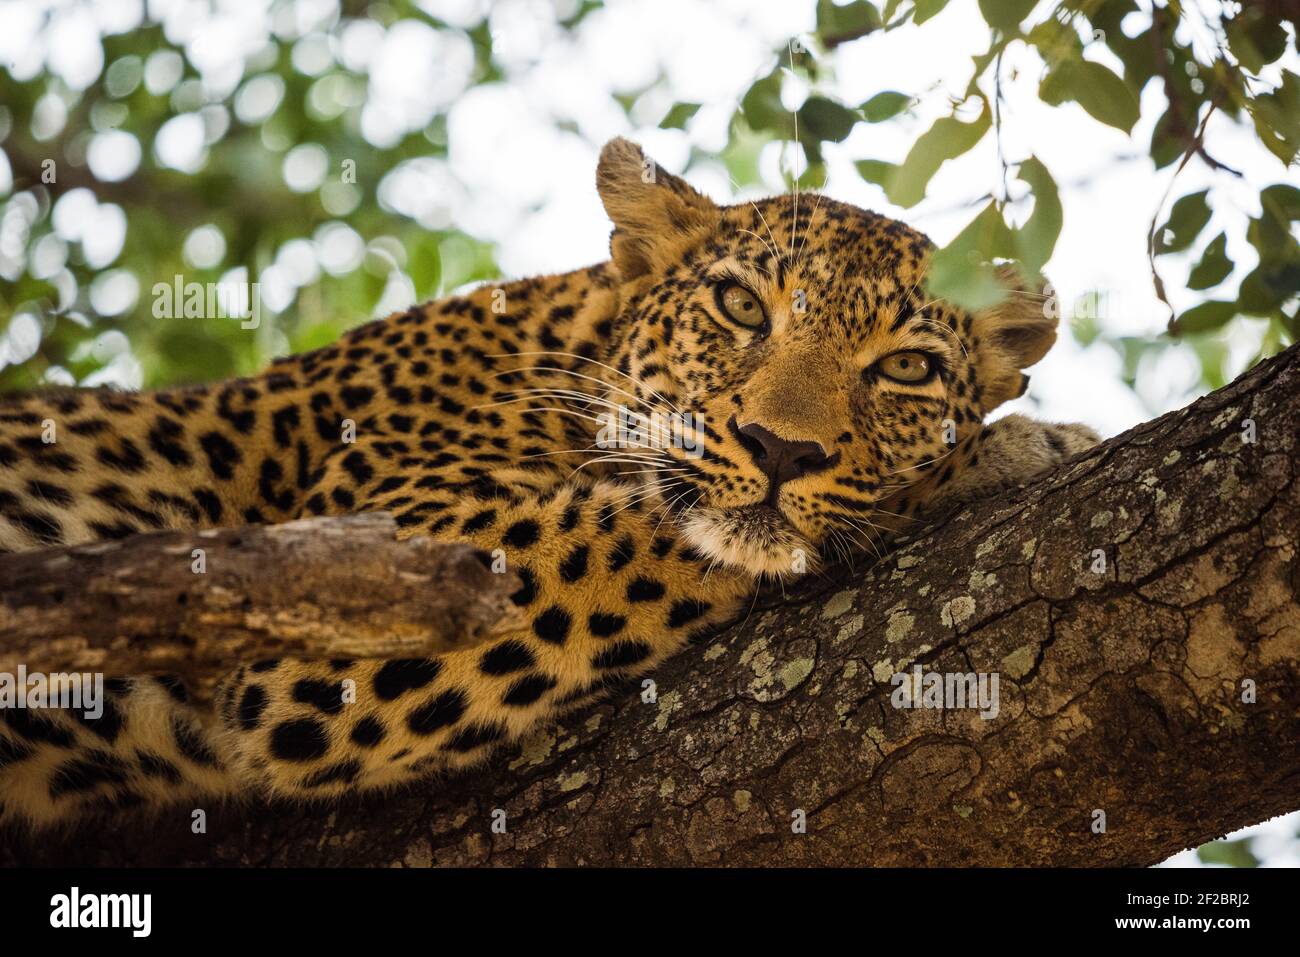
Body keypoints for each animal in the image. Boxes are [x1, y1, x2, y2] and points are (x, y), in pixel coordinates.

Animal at [0, 137, 1098, 830]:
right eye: (742, 307)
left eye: (906, 369)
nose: (781, 449)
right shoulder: (349, 592)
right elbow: (651, 527)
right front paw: (1010, 449)